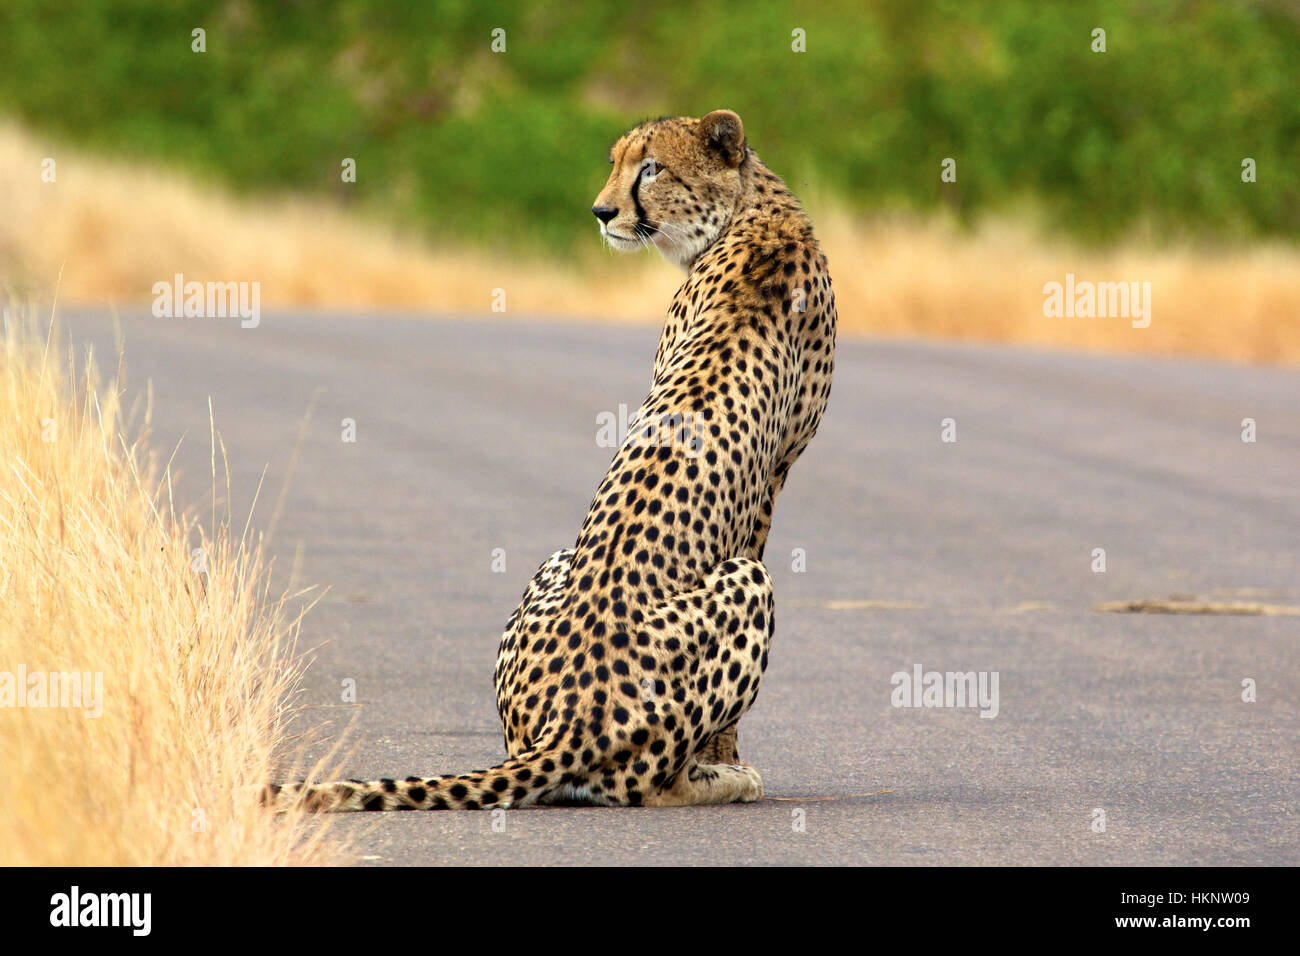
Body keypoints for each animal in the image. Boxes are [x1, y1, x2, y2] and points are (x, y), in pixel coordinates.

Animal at [268, 109, 836, 811]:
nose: (601, 211)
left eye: (652, 168)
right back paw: (724, 781)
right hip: (739, 583)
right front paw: (729, 759)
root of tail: (563, 728)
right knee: (651, 787)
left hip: (557, 571)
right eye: (617, 162)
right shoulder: (774, 479)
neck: (754, 214)